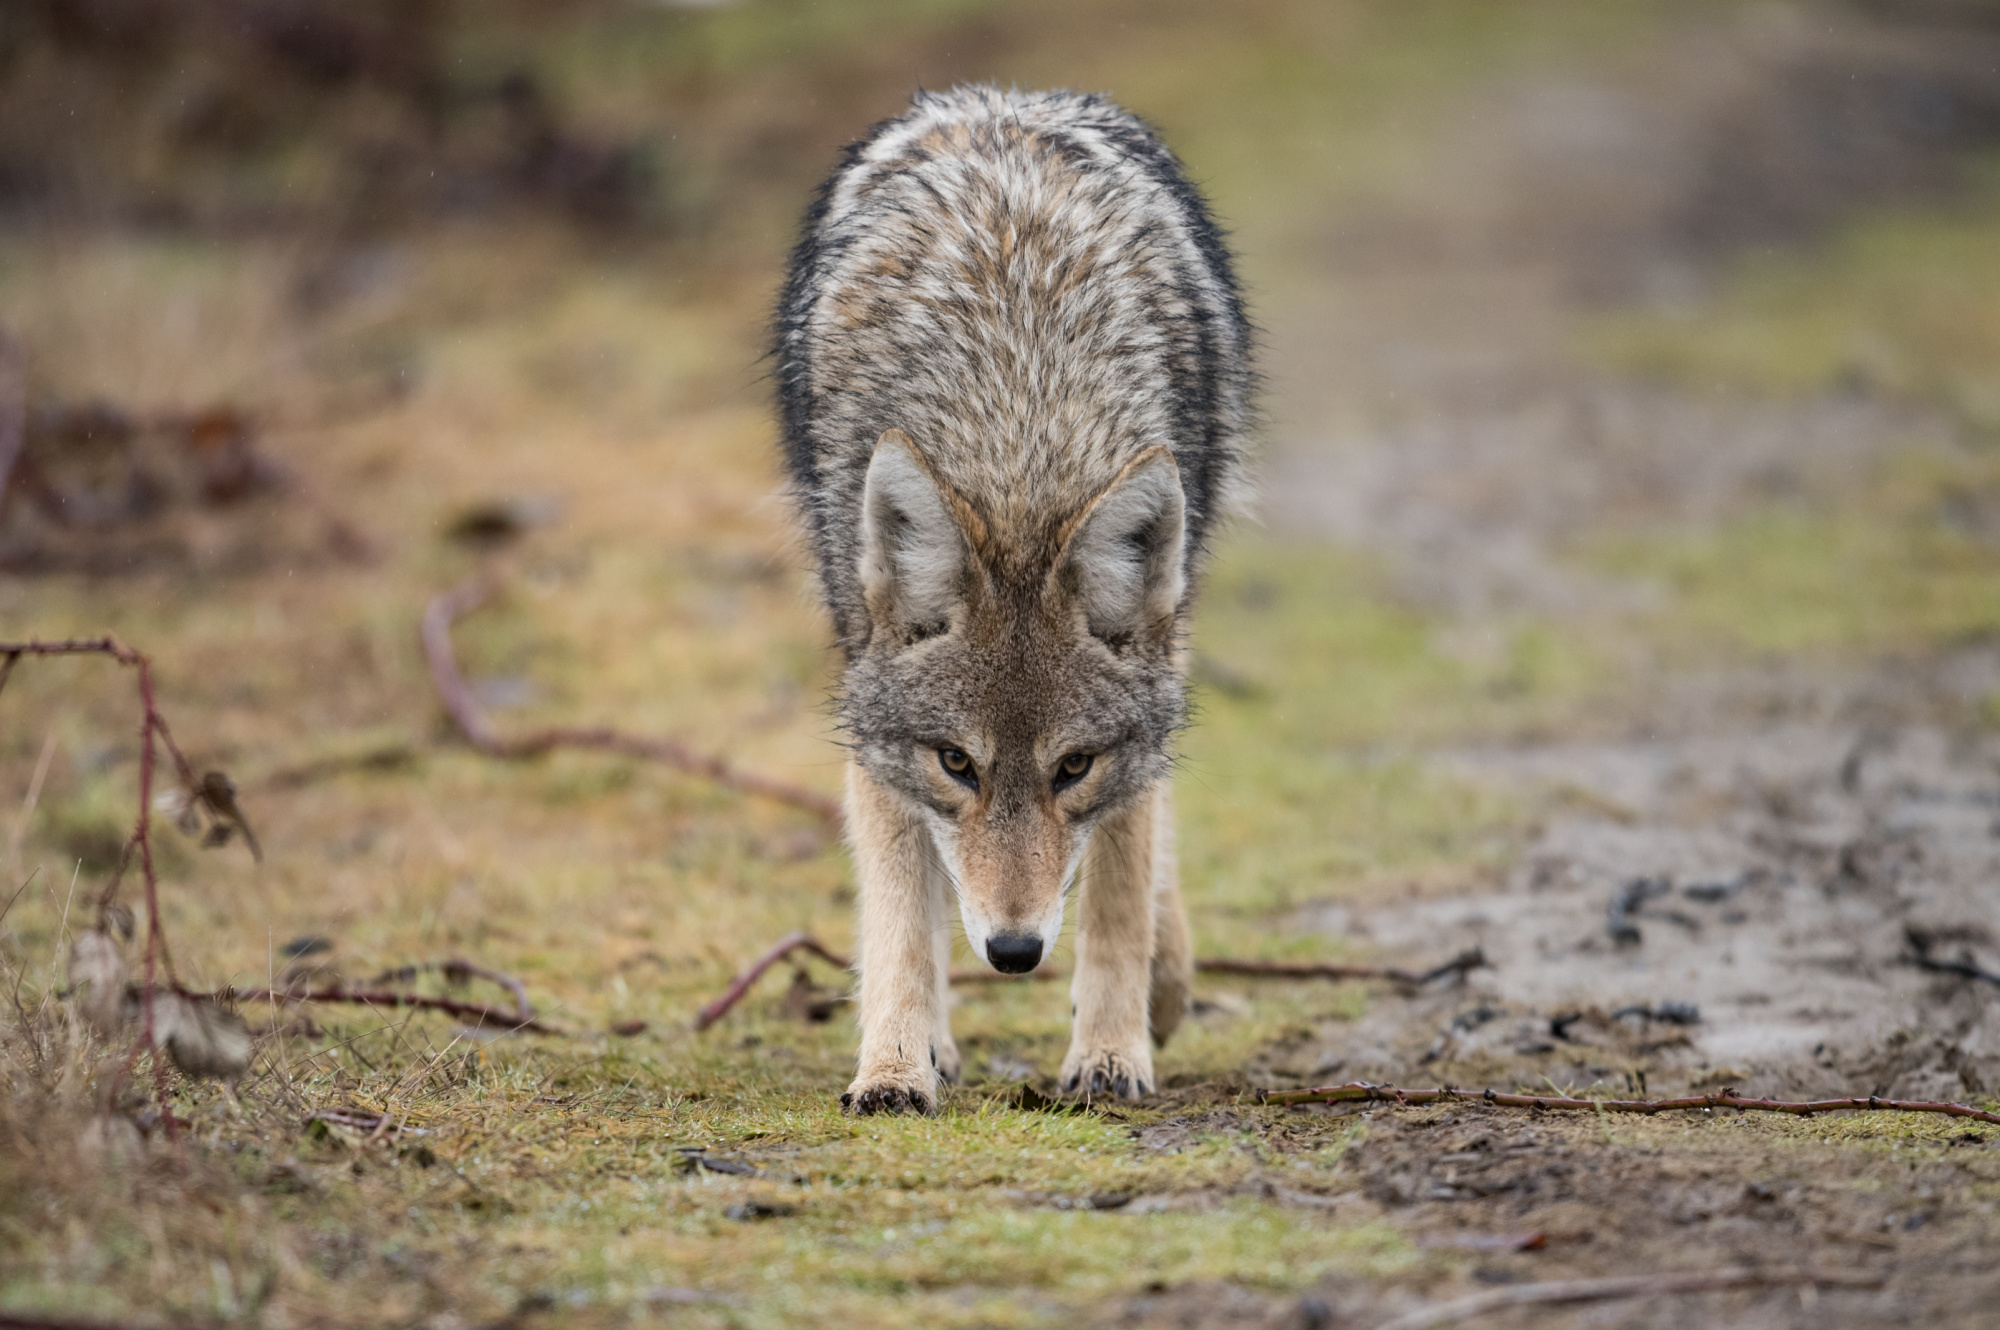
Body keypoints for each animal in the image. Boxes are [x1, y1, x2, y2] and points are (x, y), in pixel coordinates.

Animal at [774, 85, 1252, 1114]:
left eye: (1071, 768)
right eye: (958, 762)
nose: (1016, 952)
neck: (1017, 441)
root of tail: (994, 100)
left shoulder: (1126, 741)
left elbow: (1119, 889)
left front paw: (1110, 1052)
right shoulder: (876, 716)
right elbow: (899, 921)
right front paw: (894, 1066)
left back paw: (1166, 987)